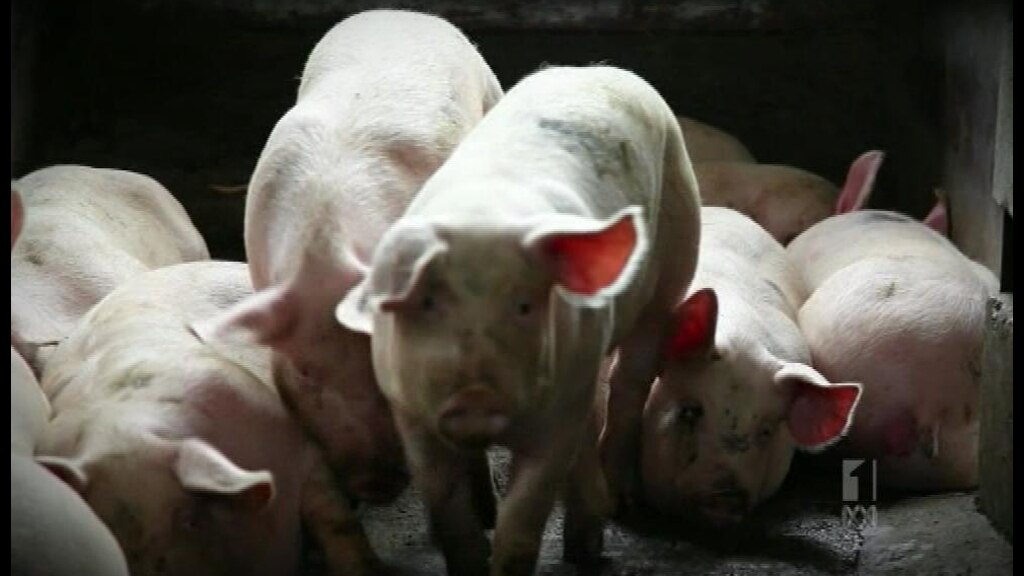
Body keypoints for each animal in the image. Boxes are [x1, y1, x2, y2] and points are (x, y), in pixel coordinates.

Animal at [336, 65, 701, 575]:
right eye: (427, 303)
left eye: (525, 305)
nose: (476, 396)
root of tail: (599, 70)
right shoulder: (409, 412)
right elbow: (449, 509)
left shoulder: (557, 415)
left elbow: (523, 522)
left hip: (675, 260)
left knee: (631, 382)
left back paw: (615, 513)